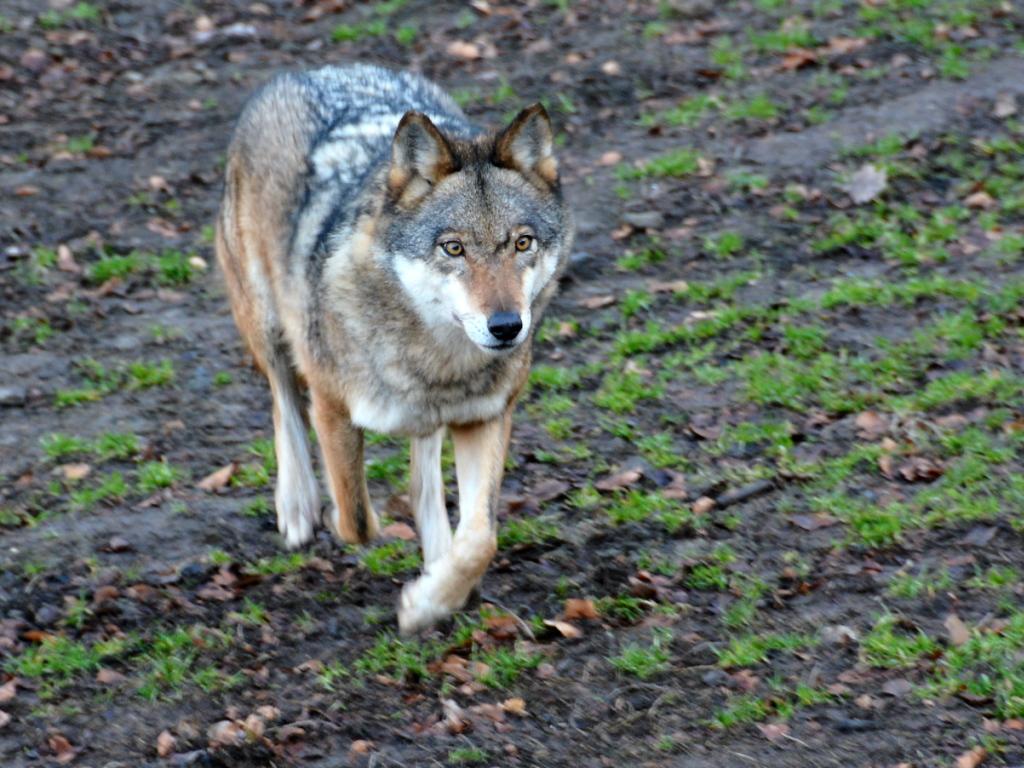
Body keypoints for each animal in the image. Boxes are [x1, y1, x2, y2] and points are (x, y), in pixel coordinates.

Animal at [215, 63, 573, 633]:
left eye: (522, 243)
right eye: (454, 248)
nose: (506, 327)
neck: (436, 360)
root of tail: (312, 70)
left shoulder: (485, 418)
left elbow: (481, 539)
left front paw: (432, 597)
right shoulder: (332, 410)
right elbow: (356, 518)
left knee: (425, 476)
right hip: (266, 324)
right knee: (282, 400)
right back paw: (297, 504)